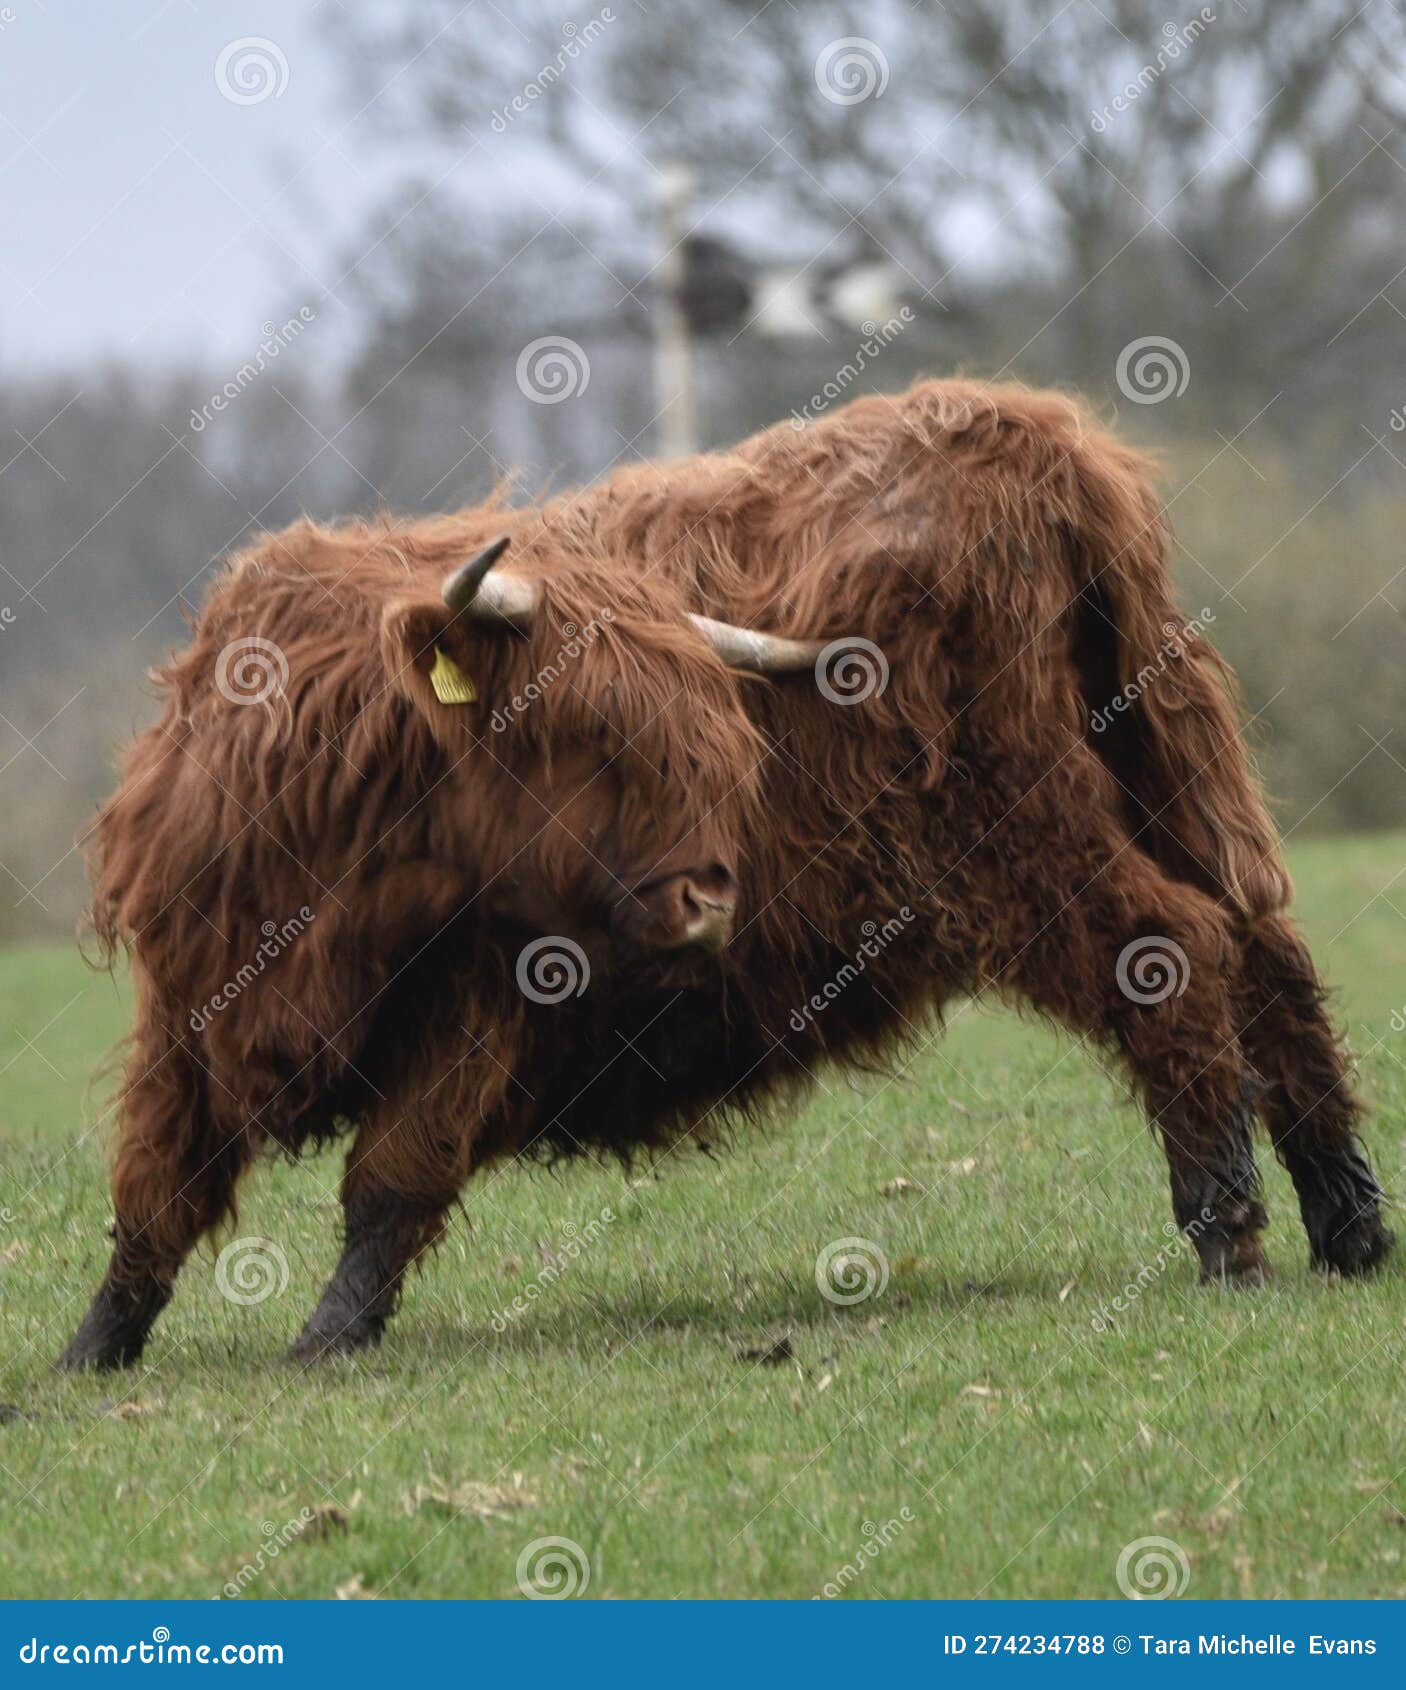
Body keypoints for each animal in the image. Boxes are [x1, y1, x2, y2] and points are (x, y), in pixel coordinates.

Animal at [60, 377, 1392, 1370]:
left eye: (702, 743)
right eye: (589, 737)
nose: (709, 898)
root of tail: (1034, 437)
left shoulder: (486, 1000)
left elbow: (390, 1174)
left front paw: (325, 1339)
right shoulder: (190, 1007)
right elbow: (154, 1188)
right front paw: (91, 1351)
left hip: (1026, 832)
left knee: (1174, 949)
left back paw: (1228, 1232)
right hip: (1152, 774)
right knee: (1263, 955)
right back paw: (1350, 1227)